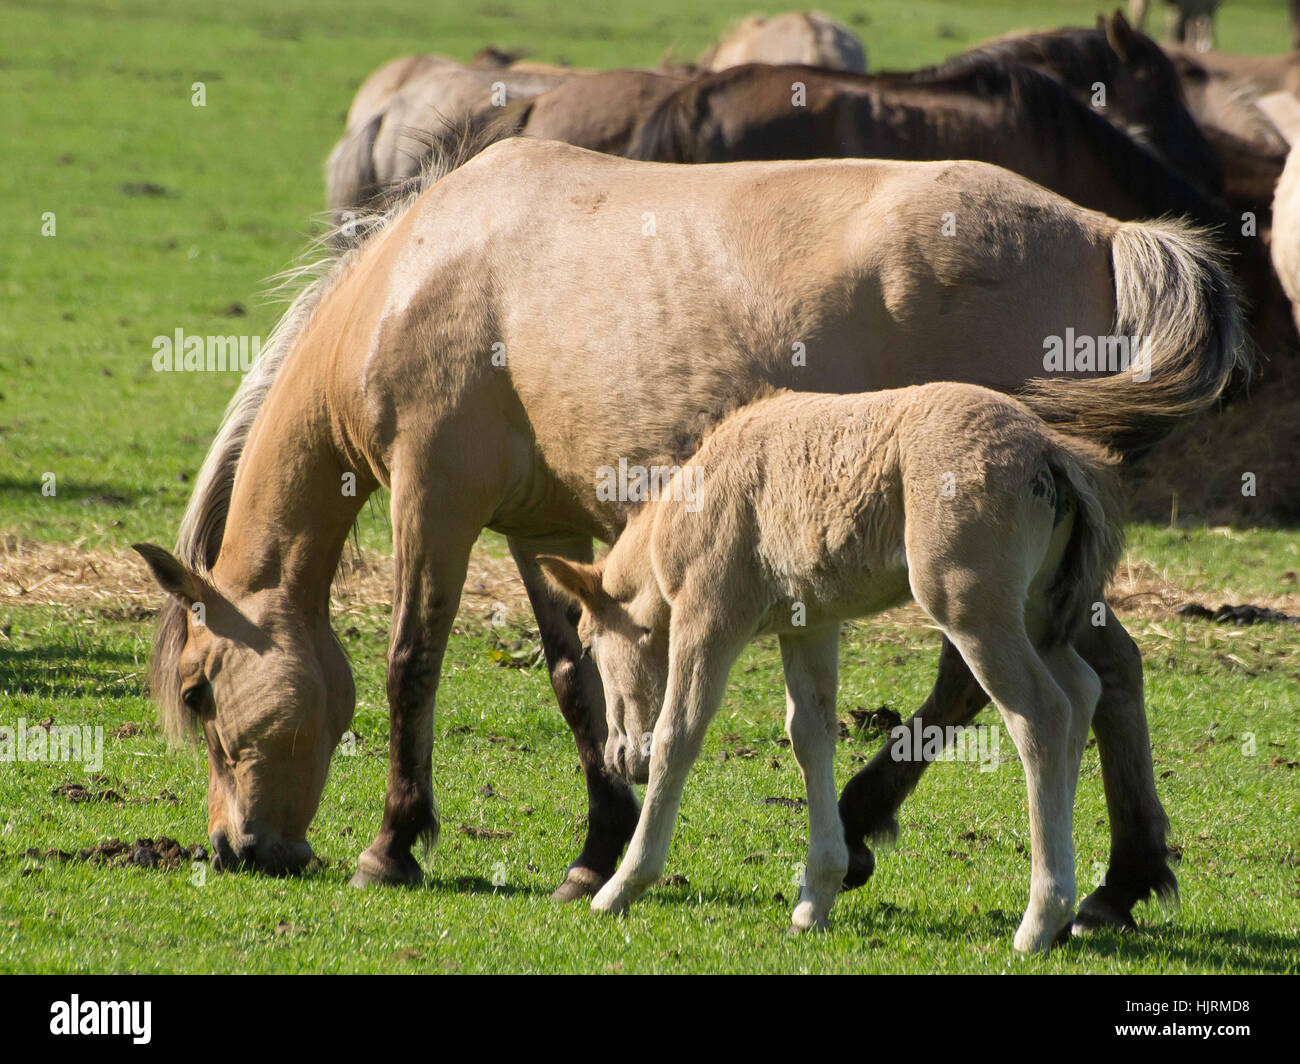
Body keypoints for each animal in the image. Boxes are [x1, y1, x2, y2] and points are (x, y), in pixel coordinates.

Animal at [538, 382, 1123, 953]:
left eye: (589, 642)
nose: (617, 757)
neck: (686, 505)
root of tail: (1049, 452)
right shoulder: (809, 623)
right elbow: (811, 735)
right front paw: (814, 900)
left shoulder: (709, 615)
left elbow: (677, 735)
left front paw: (620, 888)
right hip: (1036, 614)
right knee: (1082, 692)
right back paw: (1066, 915)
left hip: (970, 608)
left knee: (1041, 714)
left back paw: (1040, 920)